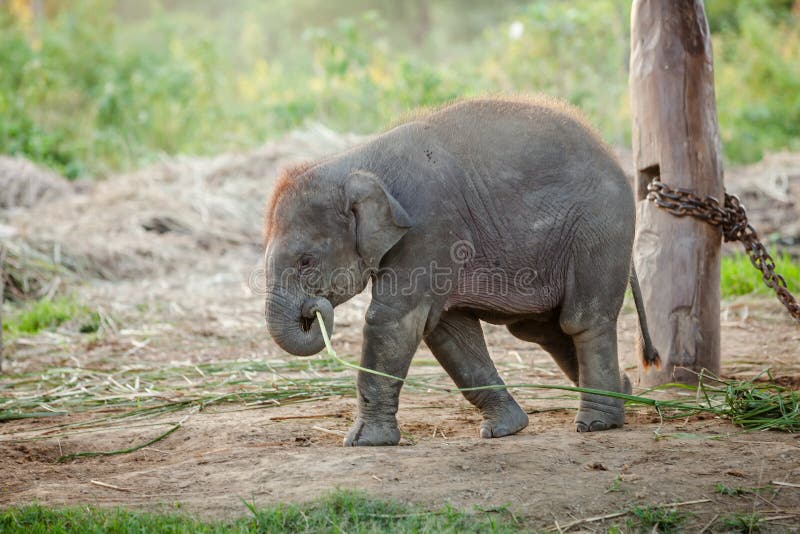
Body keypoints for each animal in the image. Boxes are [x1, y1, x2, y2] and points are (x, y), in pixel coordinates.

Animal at [263, 96, 659, 446]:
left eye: (305, 261)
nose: (313, 308)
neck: (359, 162)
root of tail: (612, 154)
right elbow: (446, 330)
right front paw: (505, 429)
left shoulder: (430, 228)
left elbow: (394, 319)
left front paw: (363, 442)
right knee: (543, 330)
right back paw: (624, 397)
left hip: (598, 231)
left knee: (582, 321)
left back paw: (597, 424)